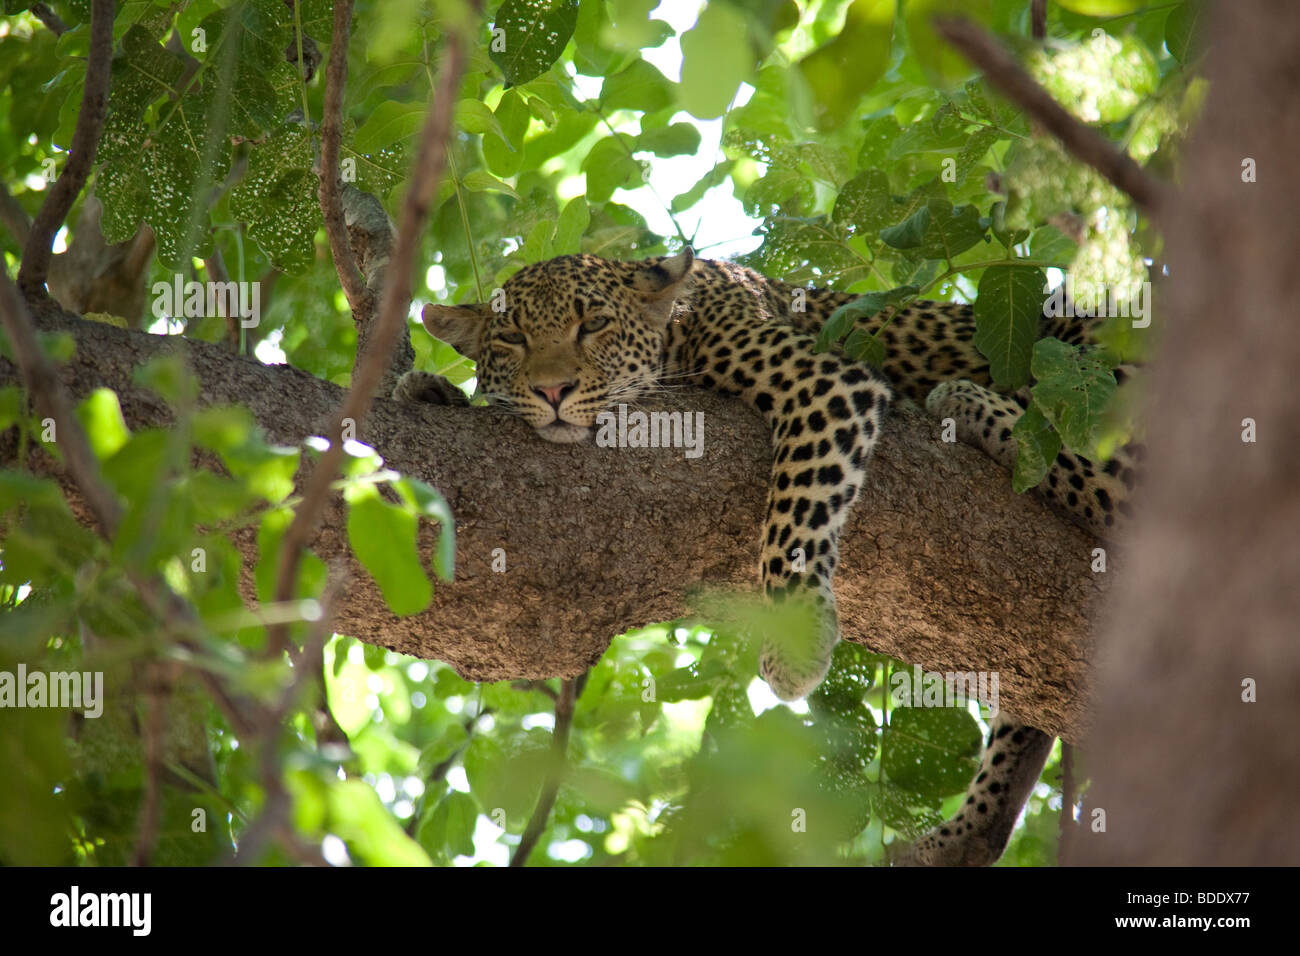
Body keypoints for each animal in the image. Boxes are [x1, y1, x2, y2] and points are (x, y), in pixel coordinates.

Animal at [394, 248, 1144, 866]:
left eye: (594, 324)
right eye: (511, 339)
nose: (552, 391)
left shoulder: (823, 378)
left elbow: (798, 499)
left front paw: (799, 639)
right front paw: (429, 390)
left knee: (1124, 488)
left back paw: (975, 404)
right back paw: (958, 839)